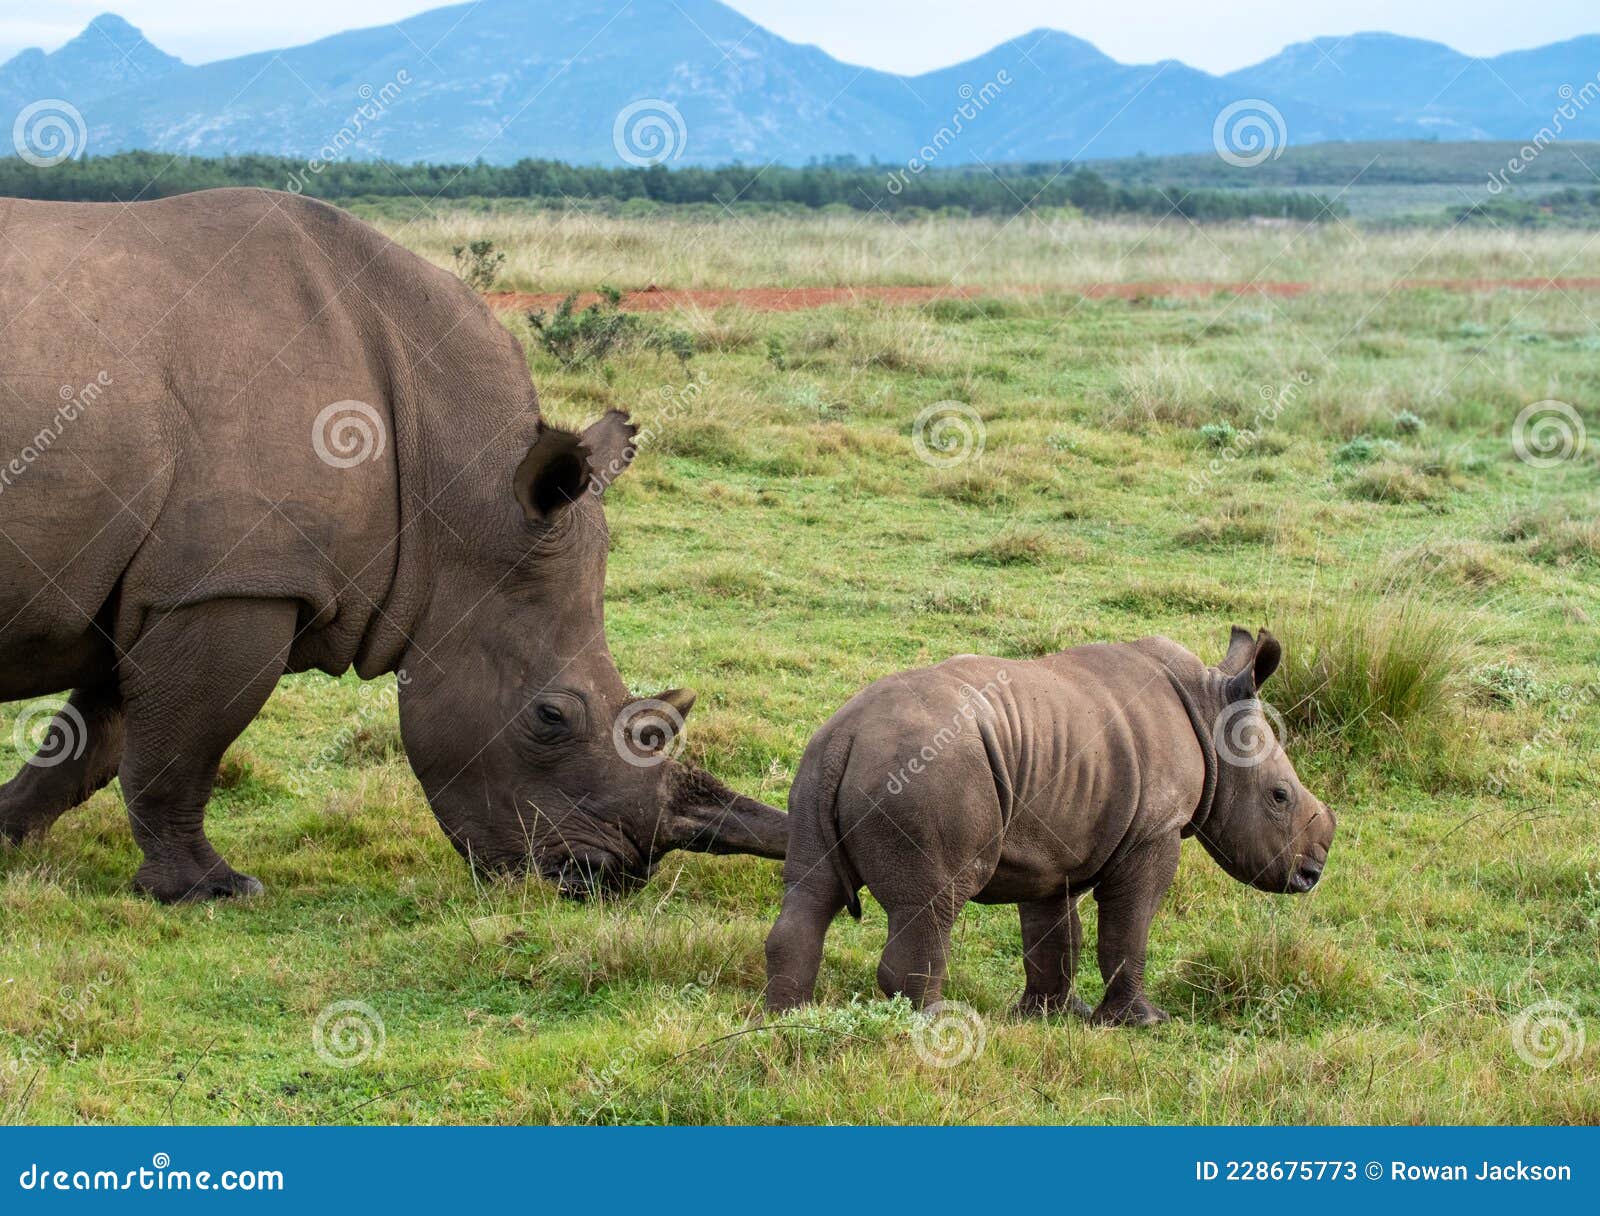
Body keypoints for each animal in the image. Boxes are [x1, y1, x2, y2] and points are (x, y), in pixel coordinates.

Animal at [0, 188, 786, 902]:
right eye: (550, 717)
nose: (603, 879)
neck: (458, 493)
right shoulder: (234, 583)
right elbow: (179, 749)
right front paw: (213, 890)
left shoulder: (168, 585)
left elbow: (91, 740)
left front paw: (6, 834)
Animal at [764, 628, 1334, 1026]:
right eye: (1279, 797)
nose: (1312, 872)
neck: (1208, 709)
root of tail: (846, 735)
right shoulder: (1154, 831)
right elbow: (1129, 926)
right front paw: (1144, 1022)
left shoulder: (1053, 844)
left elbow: (1054, 933)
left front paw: (1049, 1015)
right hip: (926, 776)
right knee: (932, 902)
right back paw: (931, 1022)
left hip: (814, 770)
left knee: (812, 890)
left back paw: (785, 1020)